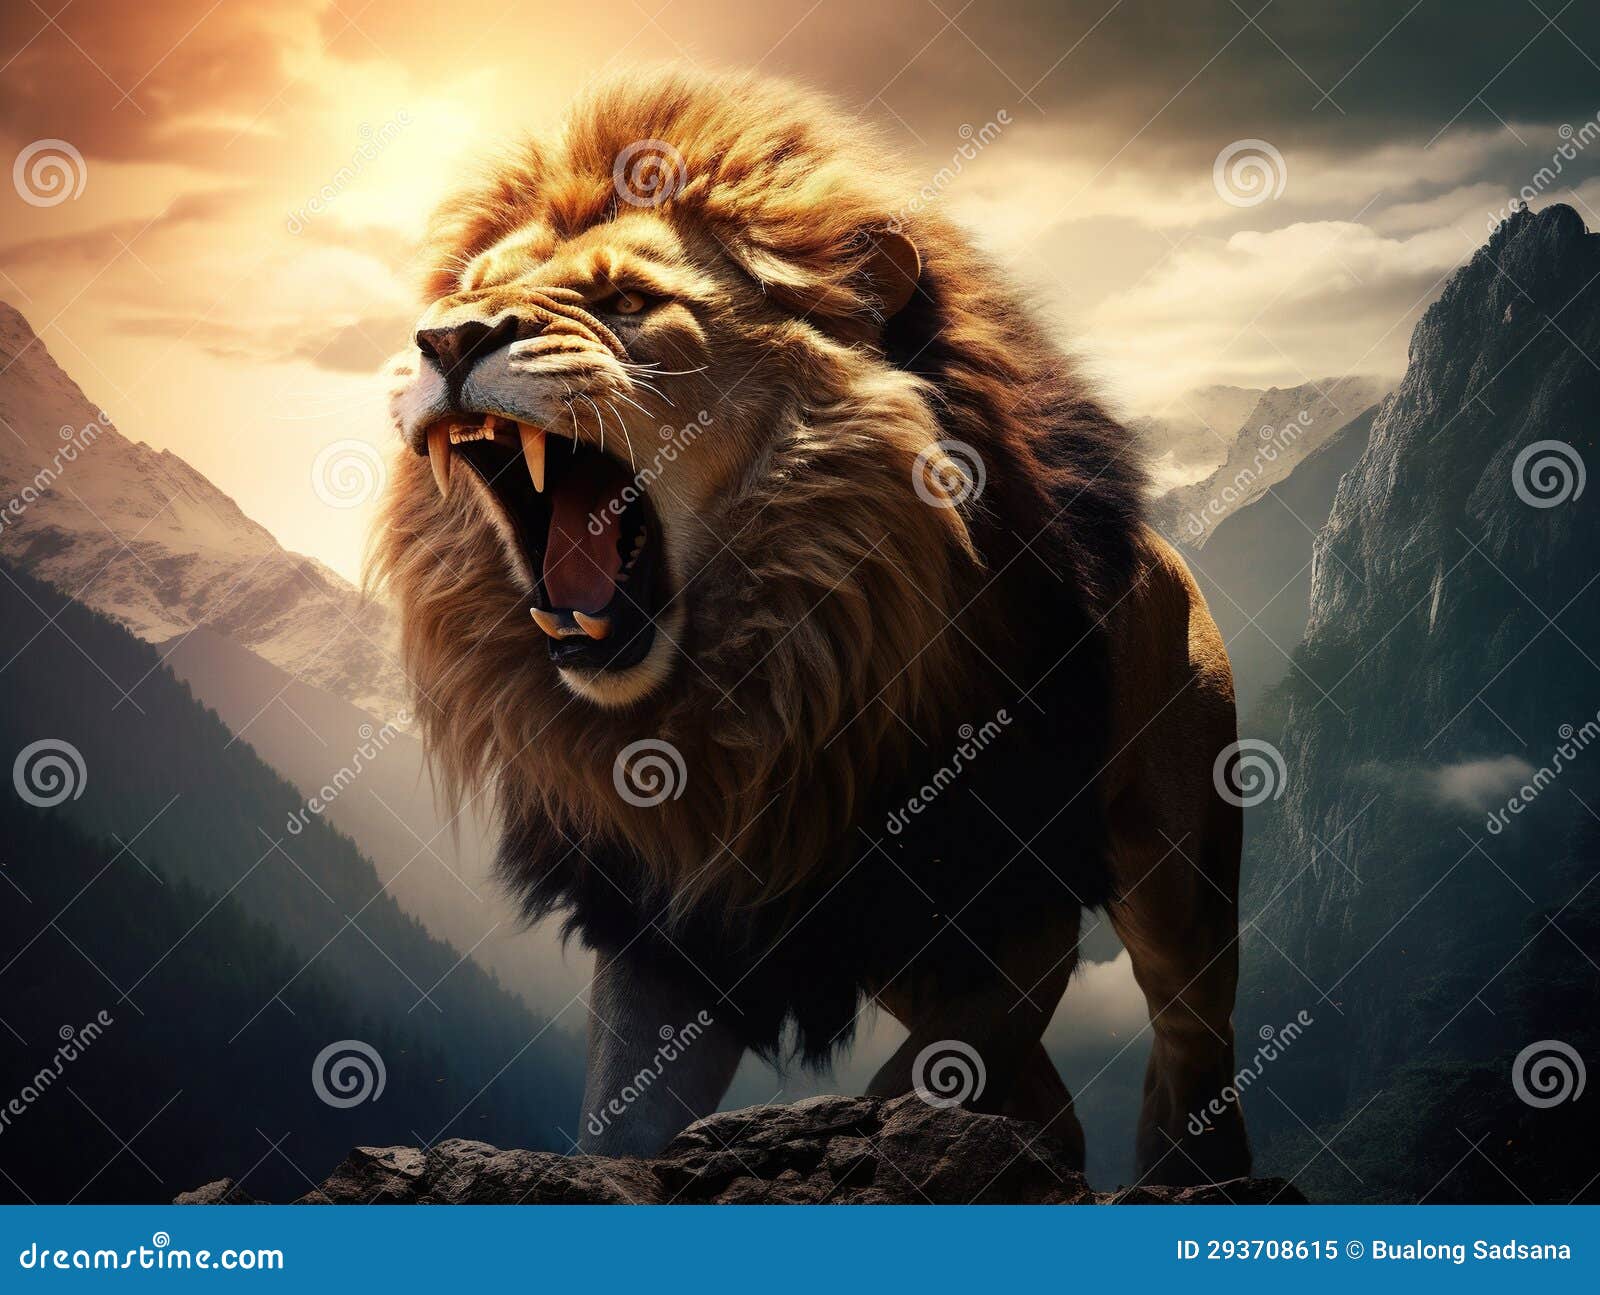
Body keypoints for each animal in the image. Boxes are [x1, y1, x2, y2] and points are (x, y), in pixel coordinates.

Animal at [372, 66, 1248, 1187]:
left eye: (627, 302)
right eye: (466, 294)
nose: (445, 340)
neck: (762, 703)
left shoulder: (1013, 900)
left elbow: (913, 1081)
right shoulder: (672, 927)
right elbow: (622, 1126)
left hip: (1177, 879)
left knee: (1190, 1031)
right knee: (1051, 1100)